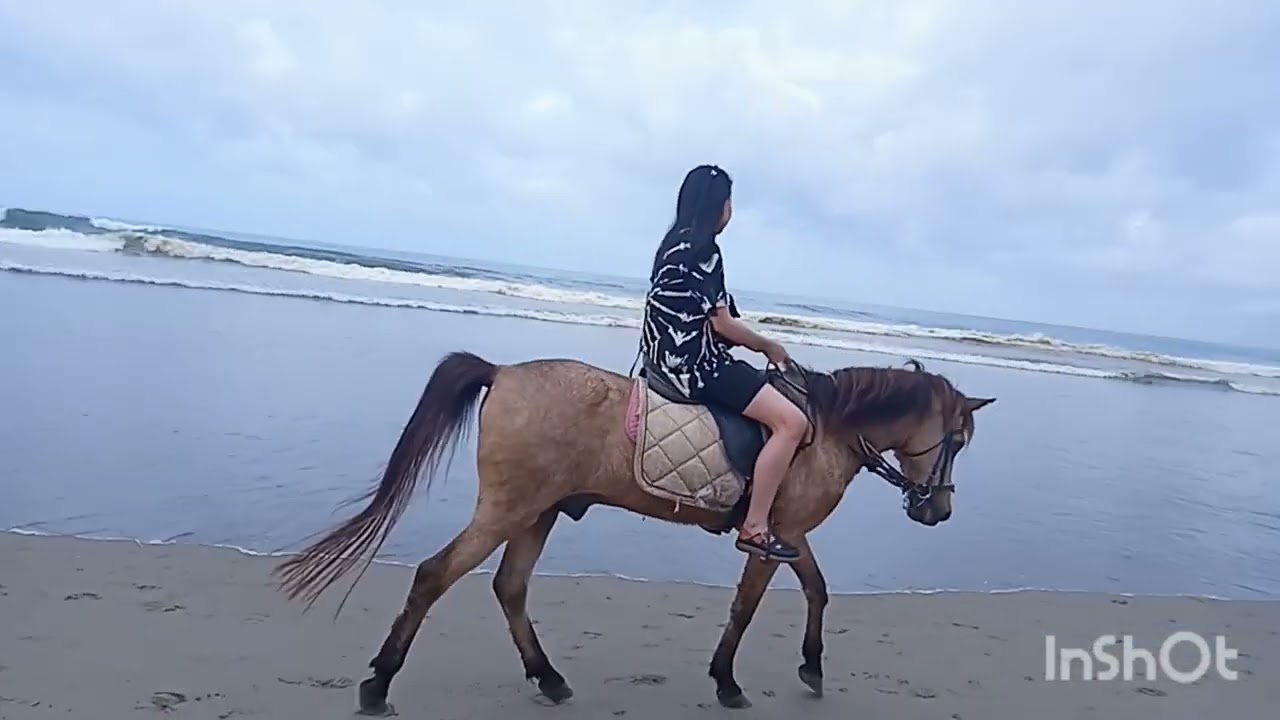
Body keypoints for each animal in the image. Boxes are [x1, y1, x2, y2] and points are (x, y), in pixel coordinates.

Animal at [272, 350, 995, 714]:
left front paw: (813, 667)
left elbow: (817, 589)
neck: (824, 426)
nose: (938, 511)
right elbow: (746, 608)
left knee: (509, 588)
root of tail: (503, 373)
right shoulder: (772, 535)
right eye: (957, 441)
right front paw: (726, 681)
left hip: (536, 511)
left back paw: (549, 678)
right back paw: (378, 686)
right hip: (508, 507)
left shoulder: (785, 531)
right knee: (435, 575)